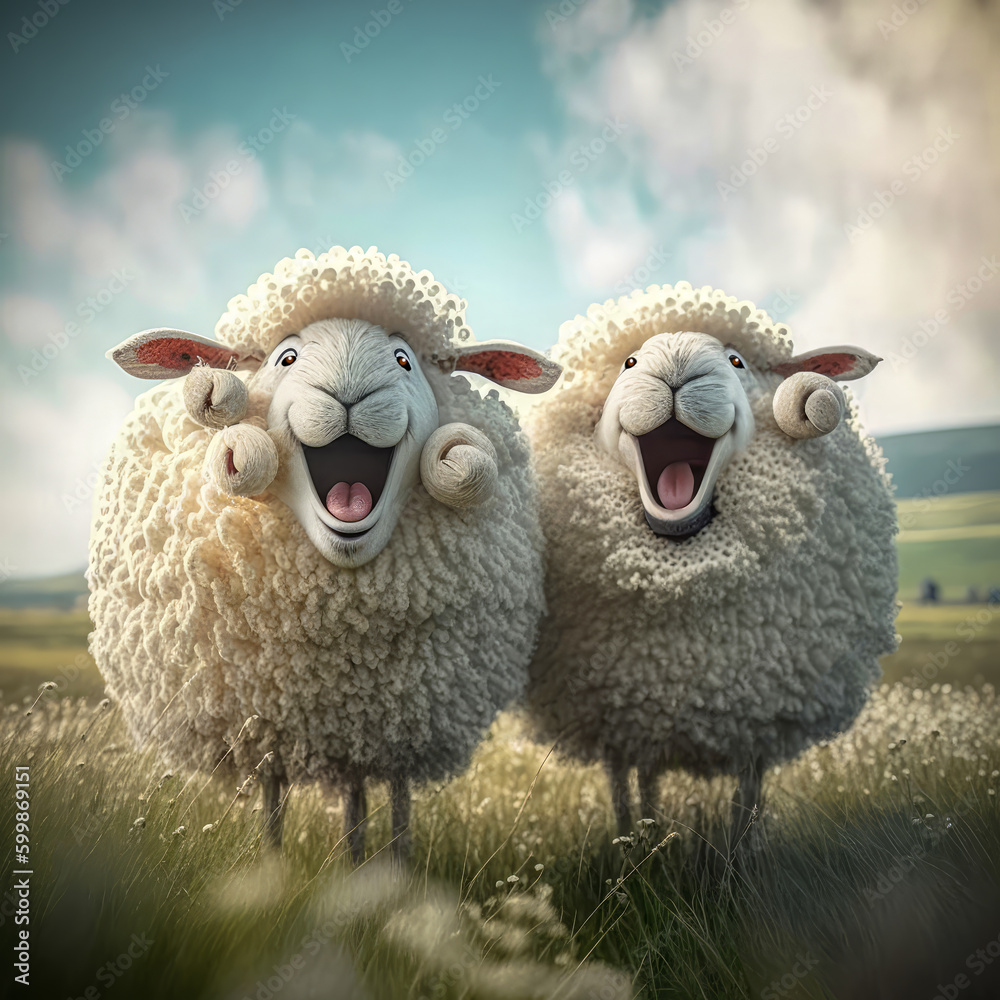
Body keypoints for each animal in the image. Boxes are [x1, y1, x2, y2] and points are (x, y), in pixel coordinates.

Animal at [88, 245, 561, 862]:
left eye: (405, 359)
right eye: (286, 357)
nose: (350, 390)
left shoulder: (404, 724)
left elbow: (400, 801)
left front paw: (397, 874)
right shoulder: (266, 725)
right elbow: (271, 798)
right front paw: (270, 870)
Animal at [524, 281, 898, 853]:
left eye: (737, 360)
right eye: (629, 360)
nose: (676, 365)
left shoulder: (761, 714)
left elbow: (747, 793)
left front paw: (739, 856)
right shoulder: (616, 716)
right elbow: (626, 790)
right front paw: (634, 852)